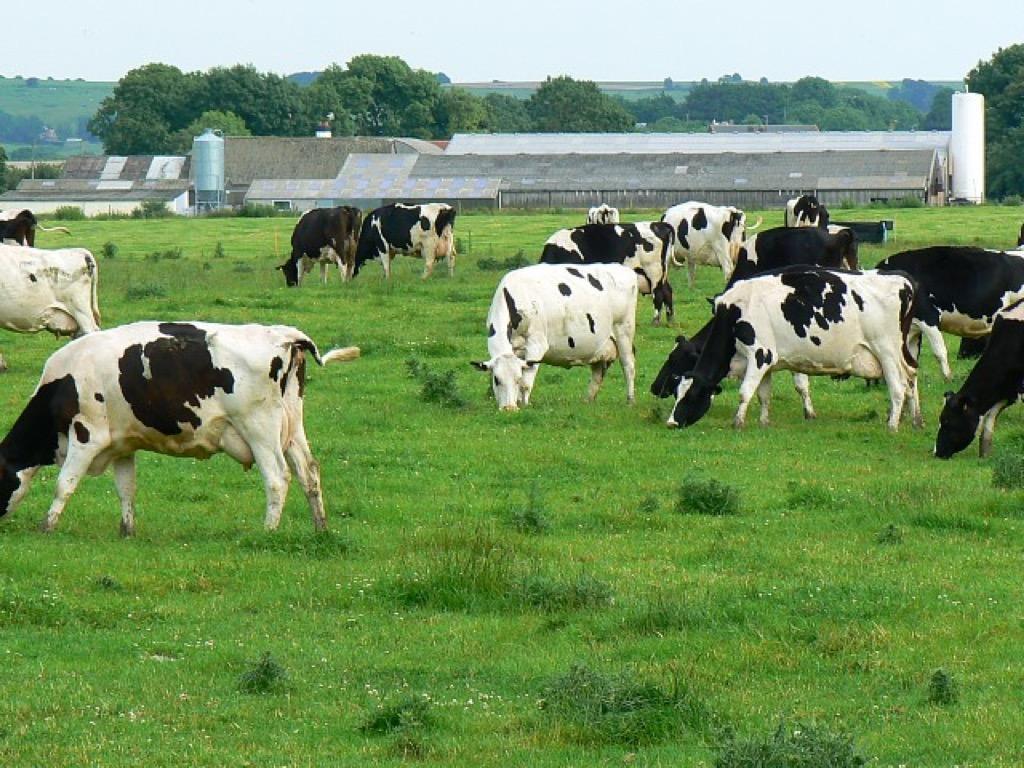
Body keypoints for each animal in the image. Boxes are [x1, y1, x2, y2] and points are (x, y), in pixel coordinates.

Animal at [0, 321, 360, 535]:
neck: (63, 383)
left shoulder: (87, 436)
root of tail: (284, 335)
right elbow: (126, 489)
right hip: (292, 428)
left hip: (259, 427)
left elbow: (64, 484)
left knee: (277, 477)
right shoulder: (122, 445)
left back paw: (268, 531)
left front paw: (46, 527)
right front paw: (127, 531)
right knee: (309, 473)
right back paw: (321, 528)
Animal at [470, 263, 638, 410]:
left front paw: (524, 405)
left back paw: (630, 400)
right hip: (600, 345)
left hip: (624, 330)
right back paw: (587, 401)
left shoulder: (536, 344)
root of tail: (623, 269)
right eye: (496, 379)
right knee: (598, 372)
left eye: (517, 379)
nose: (509, 409)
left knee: (628, 365)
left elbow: (526, 382)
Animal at [539, 221, 675, 323]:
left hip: (654, 271)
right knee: (667, 291)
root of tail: (658, 224)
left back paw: (655, 320)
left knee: (658, 294)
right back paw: (670, 320)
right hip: (662, 274)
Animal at [664, 268, 923, 432]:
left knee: (898, 387)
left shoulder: (760, 354)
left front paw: (737, 423)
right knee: (911, 377)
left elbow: (745, 392)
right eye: (677, 393)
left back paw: (892, 425)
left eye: (692, 395)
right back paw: (916, 421)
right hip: (902, 352)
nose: (671, 422)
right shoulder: (766, 362)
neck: (734, 313)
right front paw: (764, 422)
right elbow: (763, 394)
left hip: (887, 351)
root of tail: (903, 280)